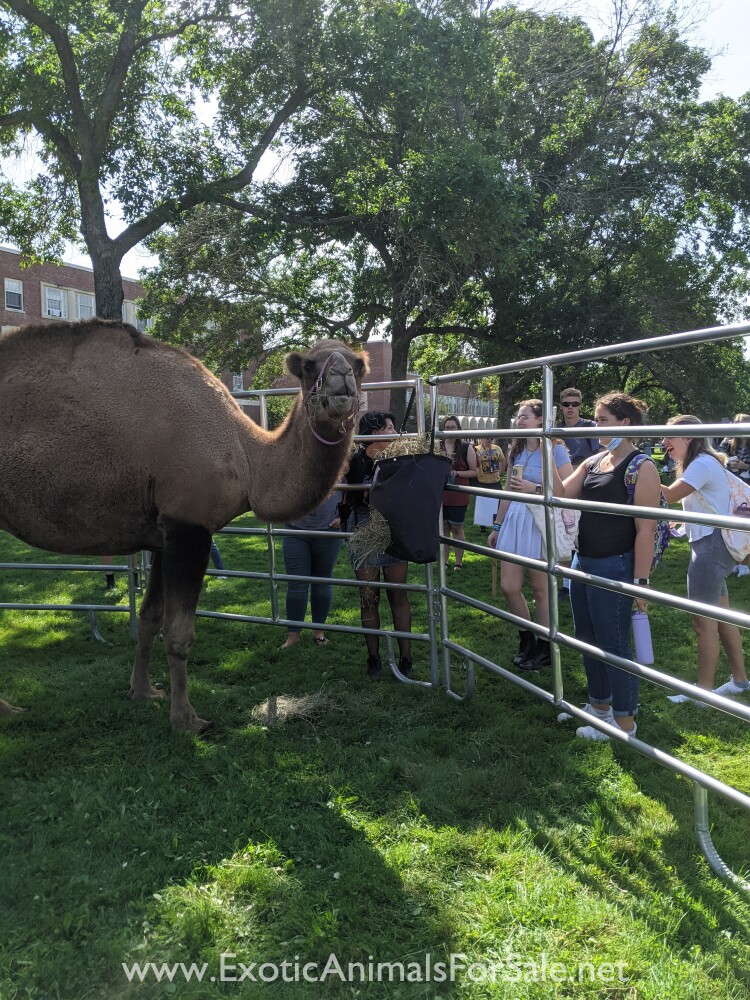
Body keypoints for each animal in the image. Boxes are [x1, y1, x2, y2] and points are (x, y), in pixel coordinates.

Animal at [0, 318, 367, 731]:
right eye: (308, 366)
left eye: (358, 364)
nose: (341, 379)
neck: (247, 458)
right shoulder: (189, 525)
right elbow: (179, 633)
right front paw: (187, 720)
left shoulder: (163, 535)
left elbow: (150, 619)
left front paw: (143, 691)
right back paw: (9, 710)